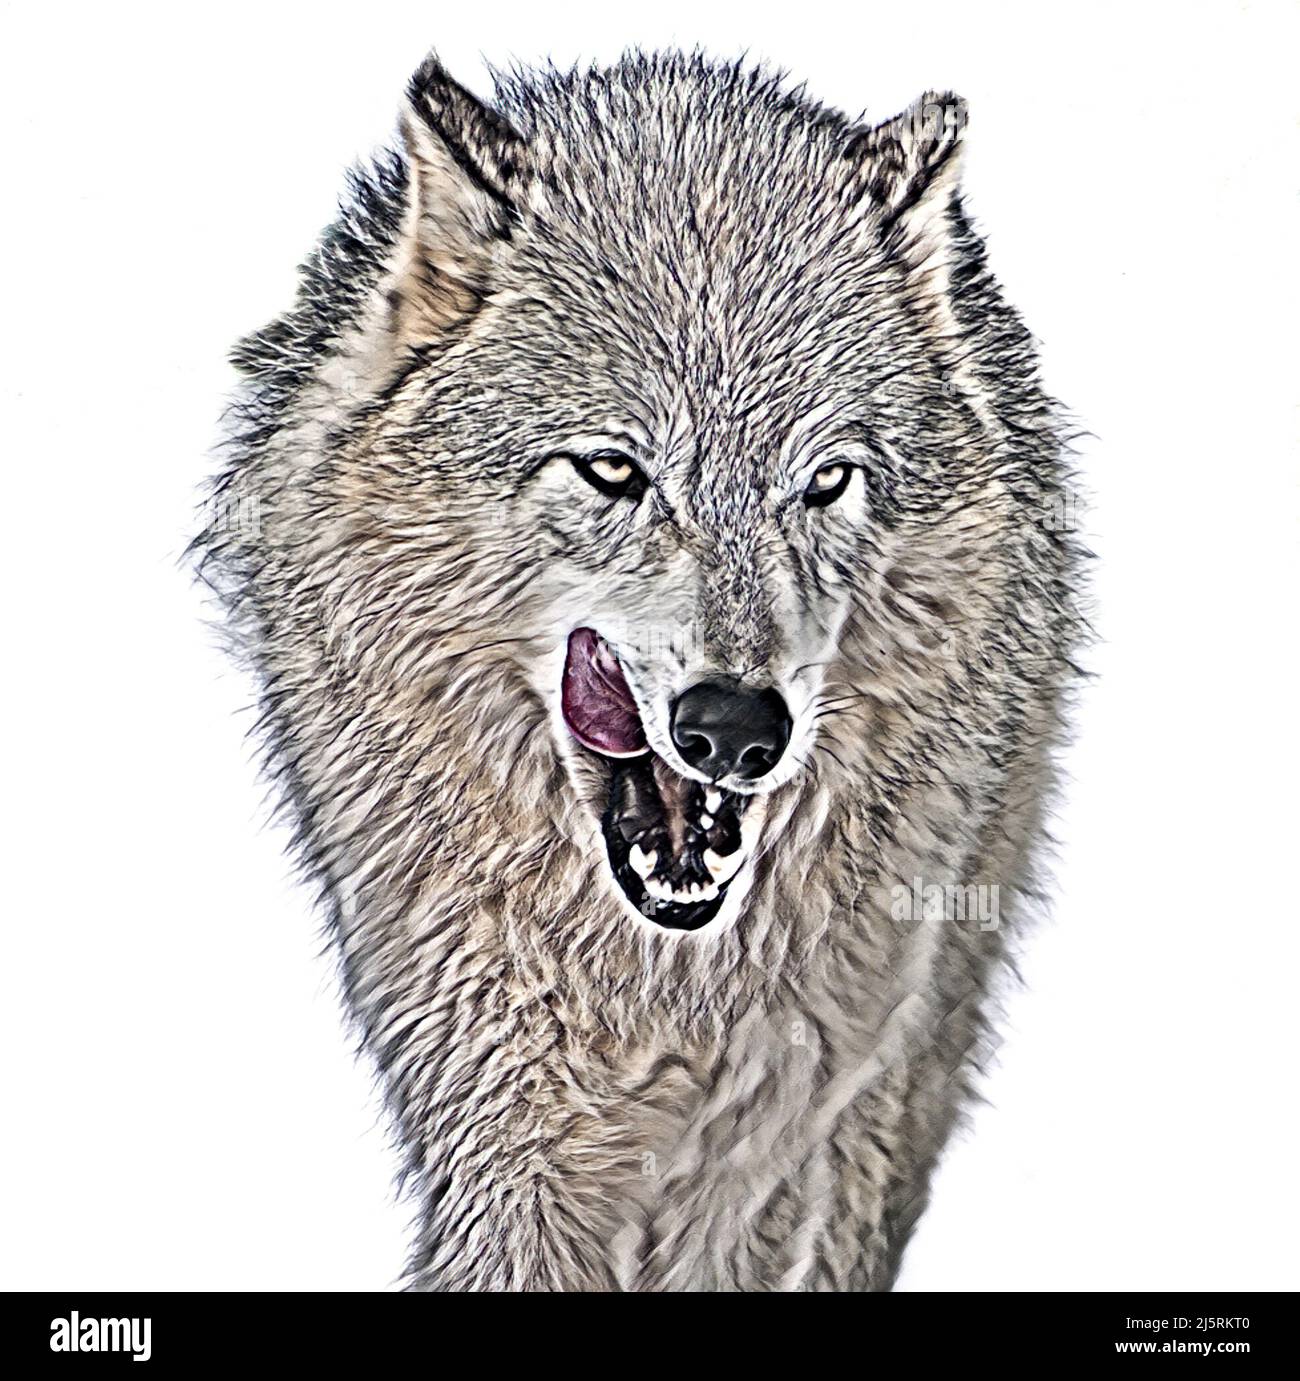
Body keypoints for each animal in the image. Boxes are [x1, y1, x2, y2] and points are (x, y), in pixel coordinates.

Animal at [197, 49, 1082, 1291]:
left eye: (825, 480)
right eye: (613, 470)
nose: (733, 728)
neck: (664, 975)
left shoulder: (786, 1131)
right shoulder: (507, 1104)